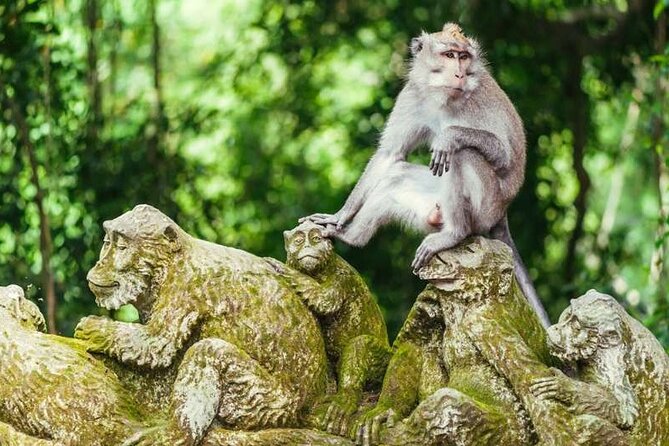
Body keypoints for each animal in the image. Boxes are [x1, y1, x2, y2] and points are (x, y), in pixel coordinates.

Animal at [301, 23, 550, 328]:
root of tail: (502, 213)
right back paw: (349, 237)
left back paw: (455, 233)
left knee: (463, 155)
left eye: (464, 57)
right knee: (396, 176)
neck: (445, 97)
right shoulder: (413, 96)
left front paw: (449, 136)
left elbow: (504, 156)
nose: (459, 73)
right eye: (449, 54)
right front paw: (339, 216)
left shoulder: (479, 100)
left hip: (485, 209)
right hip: (433, 207)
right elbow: (389, 155)